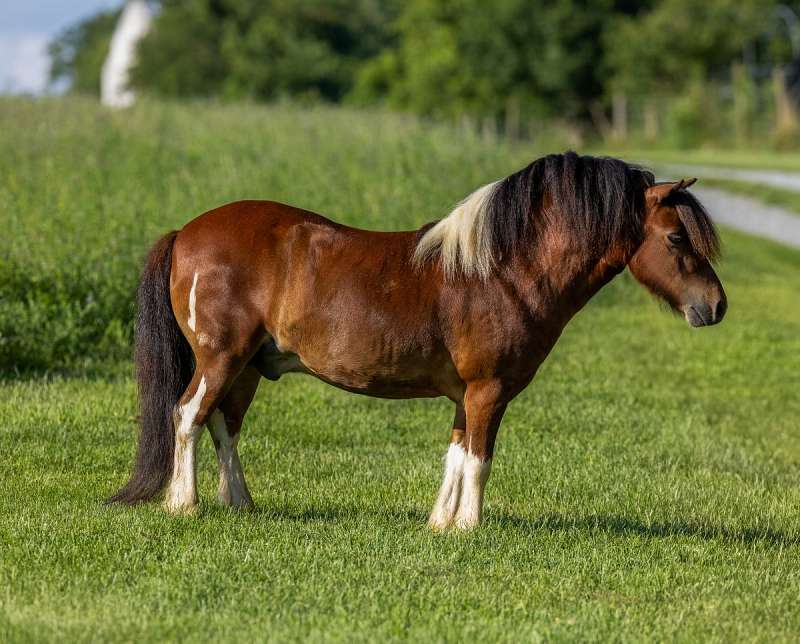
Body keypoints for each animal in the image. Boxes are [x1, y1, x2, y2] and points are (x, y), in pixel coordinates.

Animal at [108, 152, 726, 530]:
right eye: (676, 237)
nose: (716, 306)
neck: (504, 271)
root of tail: (187, 231)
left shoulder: (465, 395)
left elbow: (455, 454)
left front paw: (441, 525)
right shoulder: (487, 391)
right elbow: (479, 459)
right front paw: (472, 527)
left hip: (249, 367)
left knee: (223, 426)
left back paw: (240, 505)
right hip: (222, 358)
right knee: (187, 414)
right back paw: (183, 505)